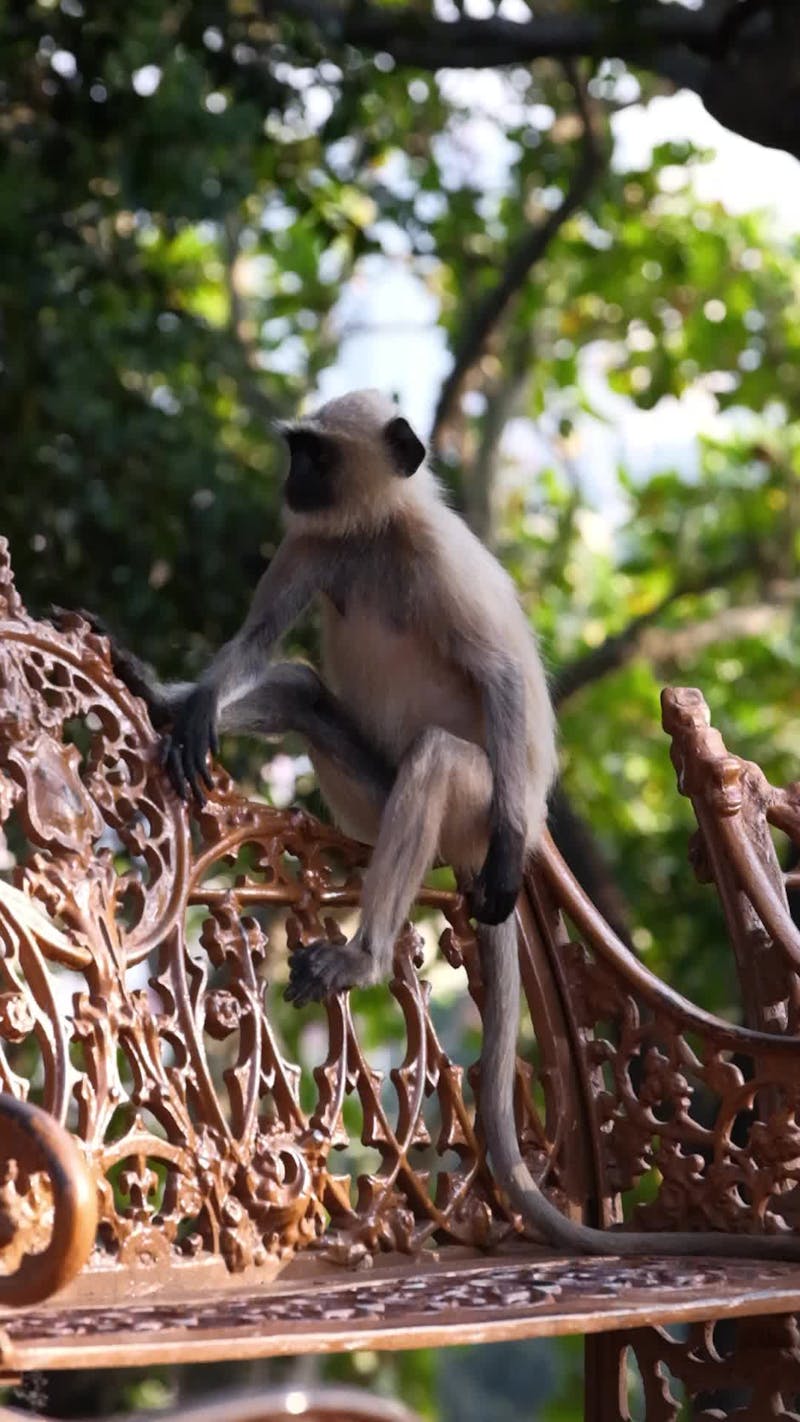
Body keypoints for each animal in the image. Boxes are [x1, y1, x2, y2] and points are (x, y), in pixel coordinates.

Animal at [89, 388, 800, 1261]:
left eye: (315, 454)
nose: (291, 478)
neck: (373, 532)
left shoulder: (434, 558)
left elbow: (502, 679)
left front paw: (507, 859)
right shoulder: (313, 539)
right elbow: (255, 644)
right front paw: (180, 704)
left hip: (474, 802)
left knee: (434, 758)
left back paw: (372, 950)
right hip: (365, 789)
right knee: (300, 688)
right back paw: (172, 706)